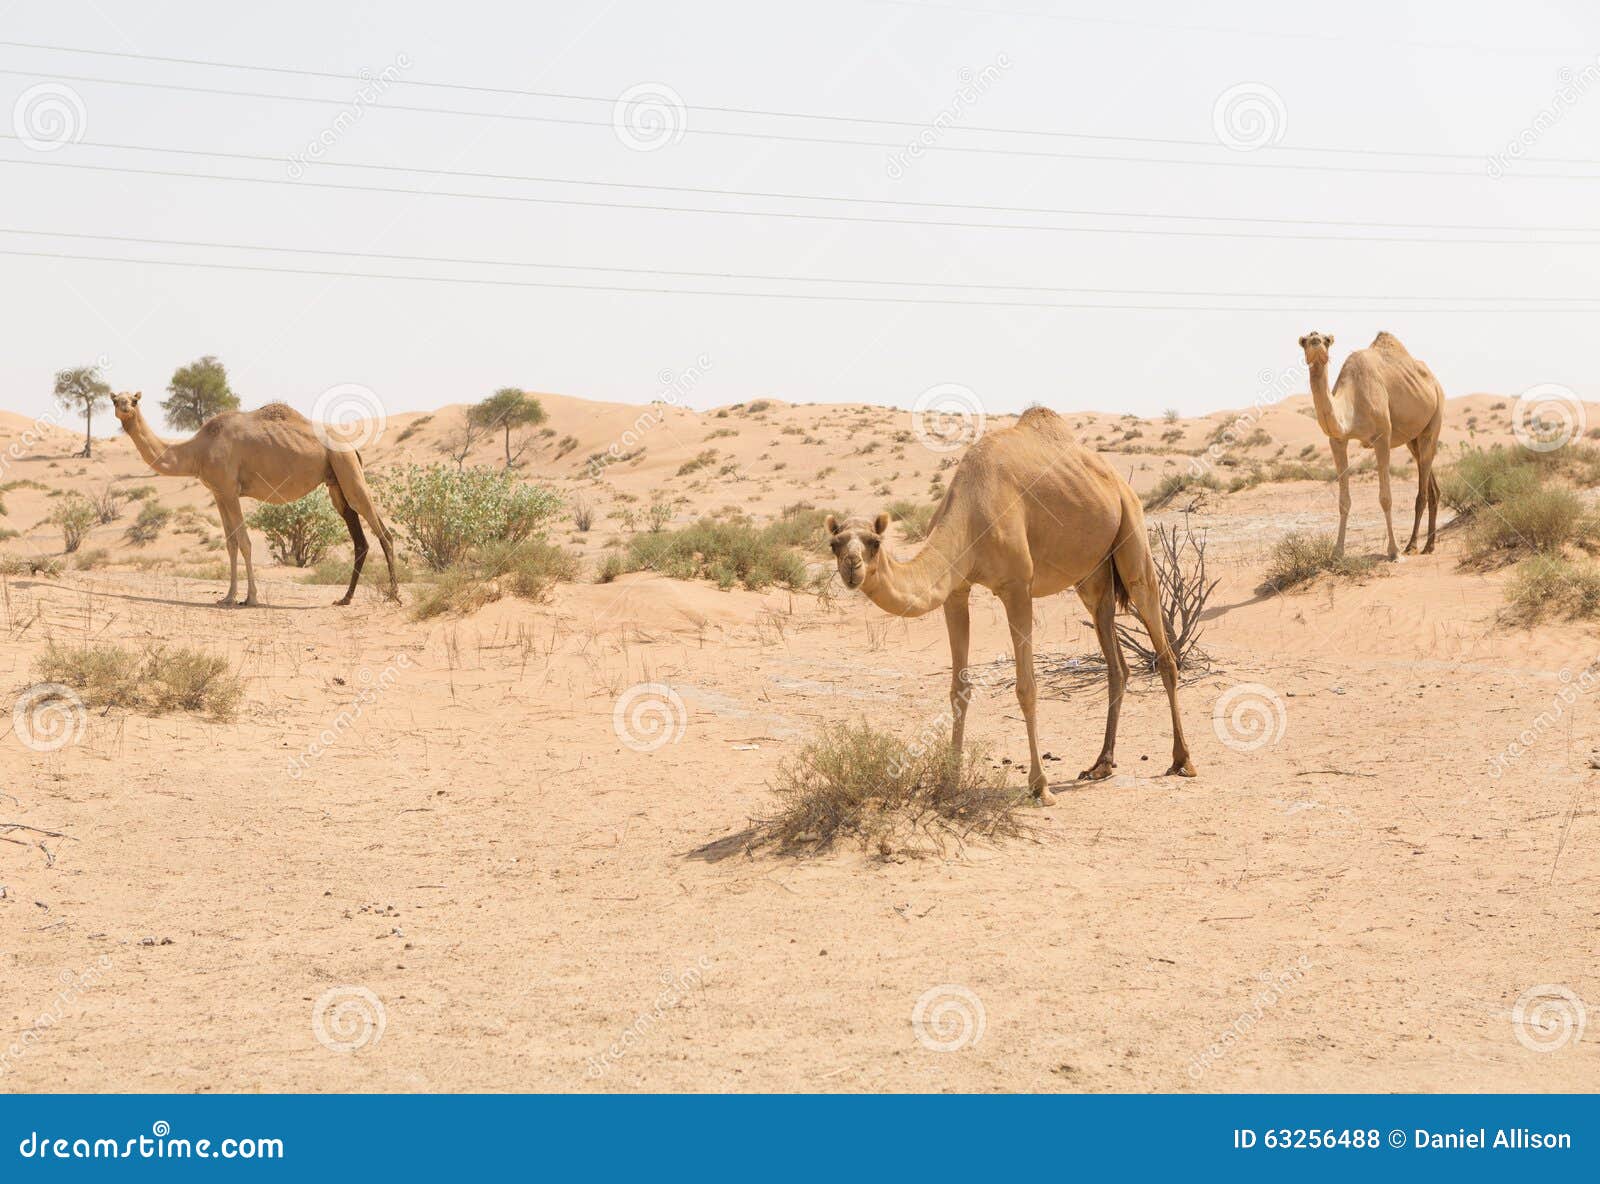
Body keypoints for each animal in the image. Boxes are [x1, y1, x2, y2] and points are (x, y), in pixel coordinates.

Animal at [109, 392, 399, 607]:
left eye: (134, 400)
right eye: (115, 399)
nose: (124, 408)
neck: (197, 451)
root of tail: (352, 448)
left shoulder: (229, 490)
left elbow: (245, 542)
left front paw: (250, 598)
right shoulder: (219, 493)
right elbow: (230, 544)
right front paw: (227, 597)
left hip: (346, 467)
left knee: (382, 530)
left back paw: (394, 595)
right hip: (335, 480)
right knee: (359, 537)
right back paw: (345, 598)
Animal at [826, 406, 1195, 805]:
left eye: (874, 542)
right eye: (835, 543)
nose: (852, 567)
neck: (971, 510)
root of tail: (1114, 479)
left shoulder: (1018, 587)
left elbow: (1026, 687)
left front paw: (1040, 785)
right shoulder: (956, 591)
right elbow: (958, 689)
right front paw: (949, 781)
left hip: (1132, 535)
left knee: (1161, 645)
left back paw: (1182, 760)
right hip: (1092, 576)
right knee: (1117, 663)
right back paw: (1101, 764)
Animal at [1298, 331, 1445, 559]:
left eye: (1326, 340)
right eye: (1304, 341)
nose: (1315, 340)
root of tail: (1434, 381)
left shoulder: (1382, 436)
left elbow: (1386, 498)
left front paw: (1393, 551)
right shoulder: (1337, 440)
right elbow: (1343, 501)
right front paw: (1337, 552)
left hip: (1435, 417)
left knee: (1422, 490)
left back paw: (1414, 545)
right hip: (1413, 438)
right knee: (1428, 474)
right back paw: (1428, 544)